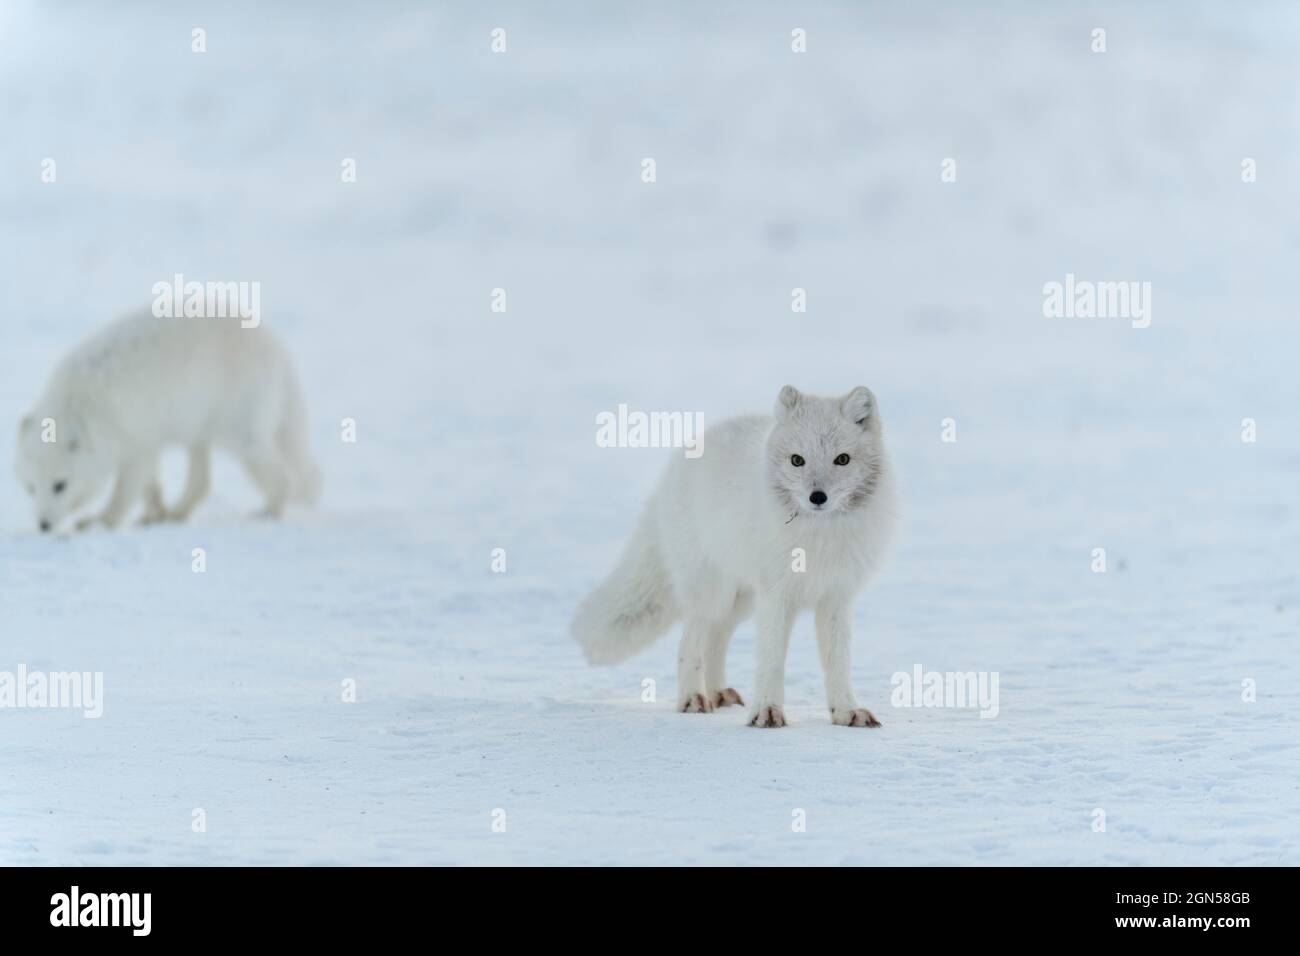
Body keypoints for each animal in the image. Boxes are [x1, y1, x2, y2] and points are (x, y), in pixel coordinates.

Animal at [15, 310, 321, 533]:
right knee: (201, 483)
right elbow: (150, 487)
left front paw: (101, 522)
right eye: (30, 488)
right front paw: (155, 512)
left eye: (60, 485)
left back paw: (269, 512)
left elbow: (123, 494)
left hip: (240, 436)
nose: (43, 526)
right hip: (197, 433)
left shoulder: (137, 446)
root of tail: (275, 347)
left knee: (281, 475)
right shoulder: (148, 442)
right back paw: (176, 513)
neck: (84, 406)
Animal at [572, 385, 899, 728]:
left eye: (842, 459)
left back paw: (717, 693)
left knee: (717, 638)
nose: (817, 497)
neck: (818, 537)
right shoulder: (776, 595)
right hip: (713, 592)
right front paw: (767, 711)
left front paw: (846, 712)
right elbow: (771, 659)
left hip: (740, 600)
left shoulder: (836, 597)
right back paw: (693, 698)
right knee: (690, 642)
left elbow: (839, 661)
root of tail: (675, 467)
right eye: (797, 460)